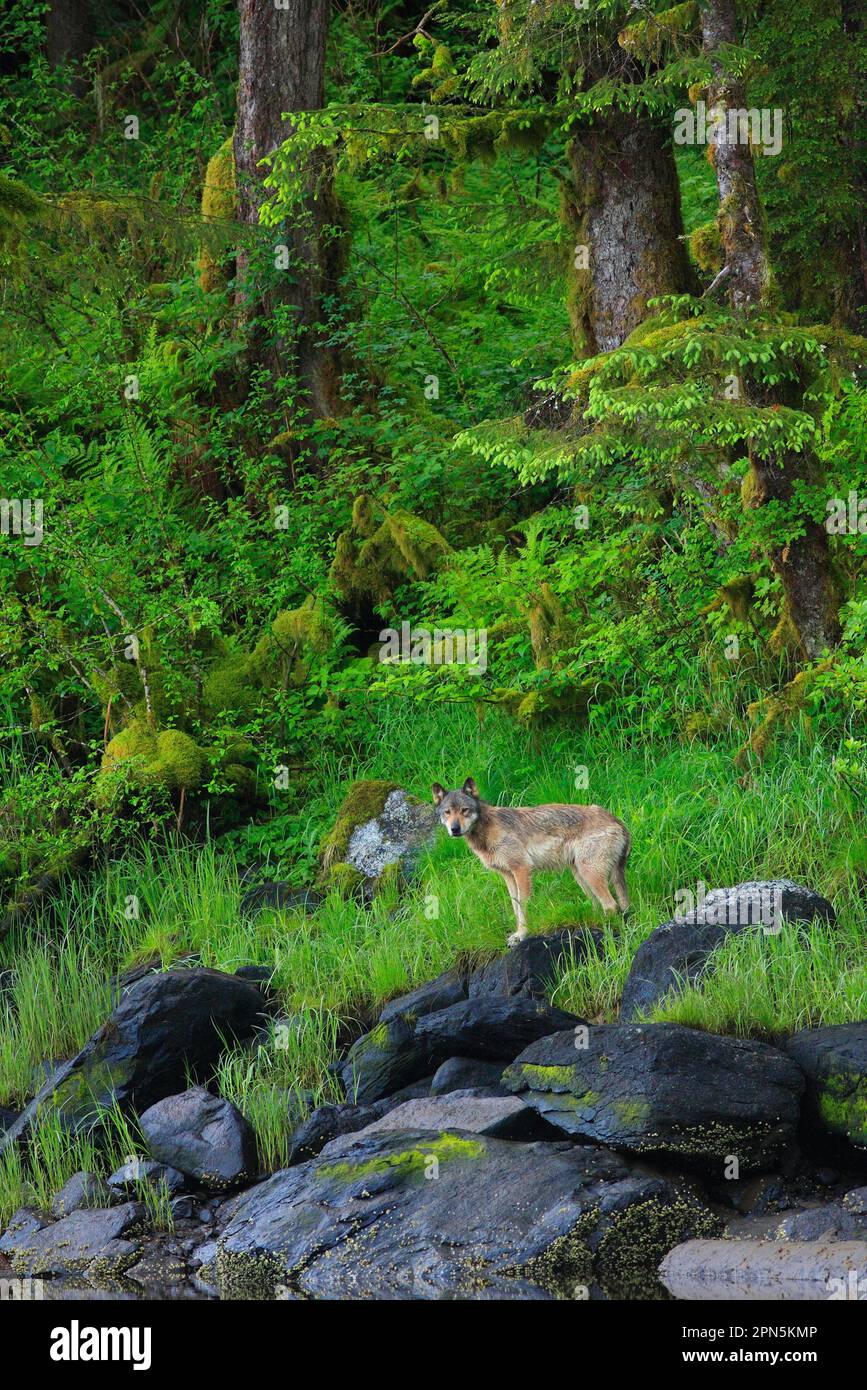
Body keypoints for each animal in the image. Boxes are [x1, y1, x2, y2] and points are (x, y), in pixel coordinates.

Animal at [432, 777, 630, 946]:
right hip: (580, 876)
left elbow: (523, 906)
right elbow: (515, 907)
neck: (487, 832)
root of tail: (616, 820)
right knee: (603, 904)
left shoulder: (522, 869)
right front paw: (517, 935)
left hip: (589, 873)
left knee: (611, 905)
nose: (454, 829)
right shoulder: (508, 876)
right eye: (447, 812)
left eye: (464, 810)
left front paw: (522, 935)